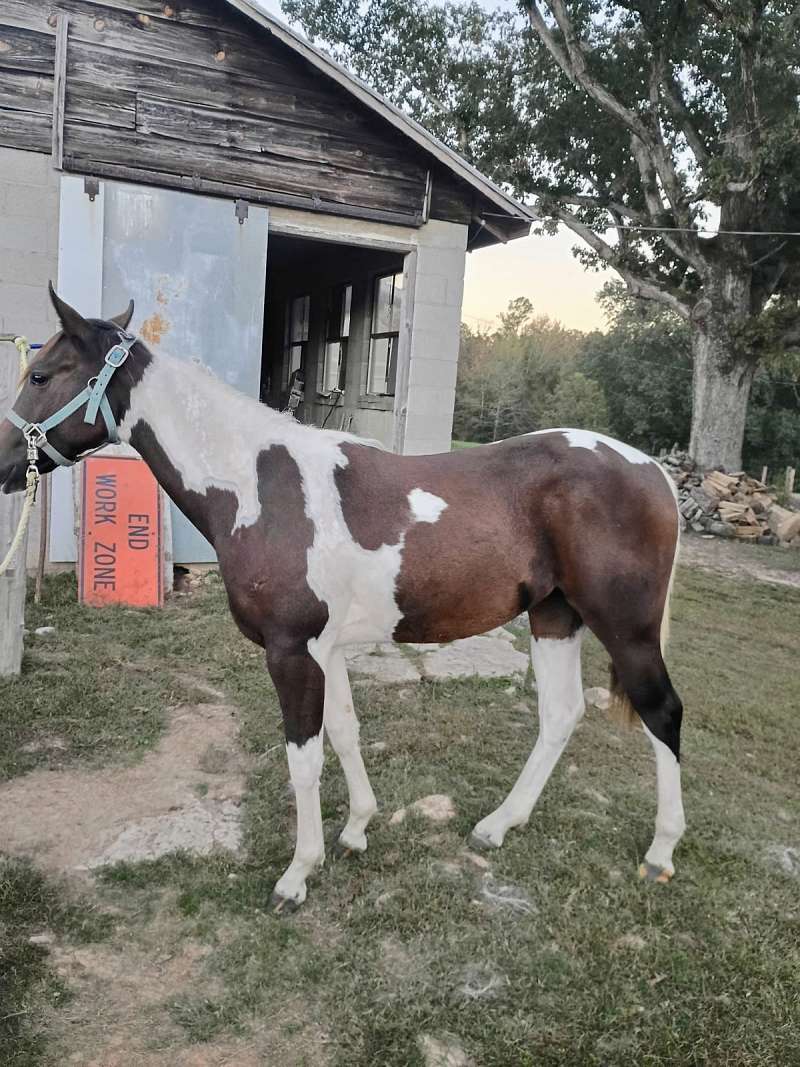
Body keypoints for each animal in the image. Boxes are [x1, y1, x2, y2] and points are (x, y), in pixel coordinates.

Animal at [0, 287, 685, 911]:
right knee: (560, 715)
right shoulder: (324, 649)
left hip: (625, 627)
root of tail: (652, 468)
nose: (4, 463)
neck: (258, 487)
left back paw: (660, 853)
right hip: (554, 617)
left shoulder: (291, 650)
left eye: (40, 374)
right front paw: (356, 829)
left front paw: (298, 875)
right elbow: (346, 732)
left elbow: (303, 759)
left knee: (663, 712)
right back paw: (497, 826)